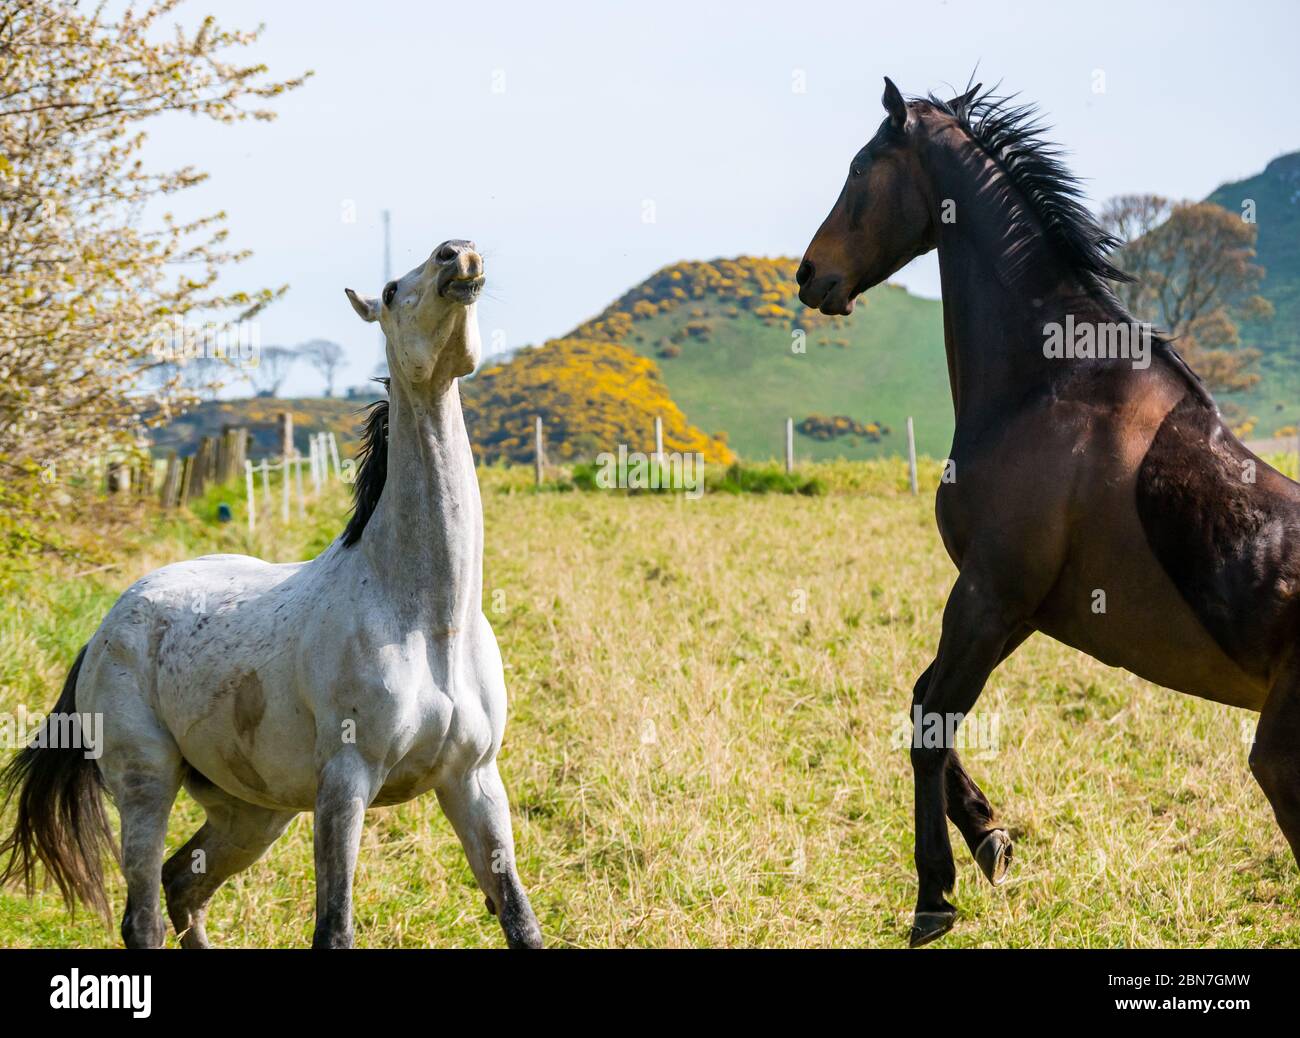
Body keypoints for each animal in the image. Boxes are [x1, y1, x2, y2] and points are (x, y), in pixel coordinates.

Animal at [0, 239, 544, 949]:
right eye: (391, 290)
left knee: (184, 886)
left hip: (253, 812)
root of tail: (105, 629)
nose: (459, 255)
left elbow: (518, 917)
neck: (425, 620)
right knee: (144, 914)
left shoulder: (475, 783)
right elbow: (334, 926)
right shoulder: (345, 784)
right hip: (148, 784)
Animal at [798, 78, 1300, 947]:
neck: (1048, 384)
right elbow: (926, 699)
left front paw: (936, 891)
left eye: (860, 169)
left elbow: (930, 720)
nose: (808, 274)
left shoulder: (990, 593)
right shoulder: (1020, 608)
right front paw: (989, 836)